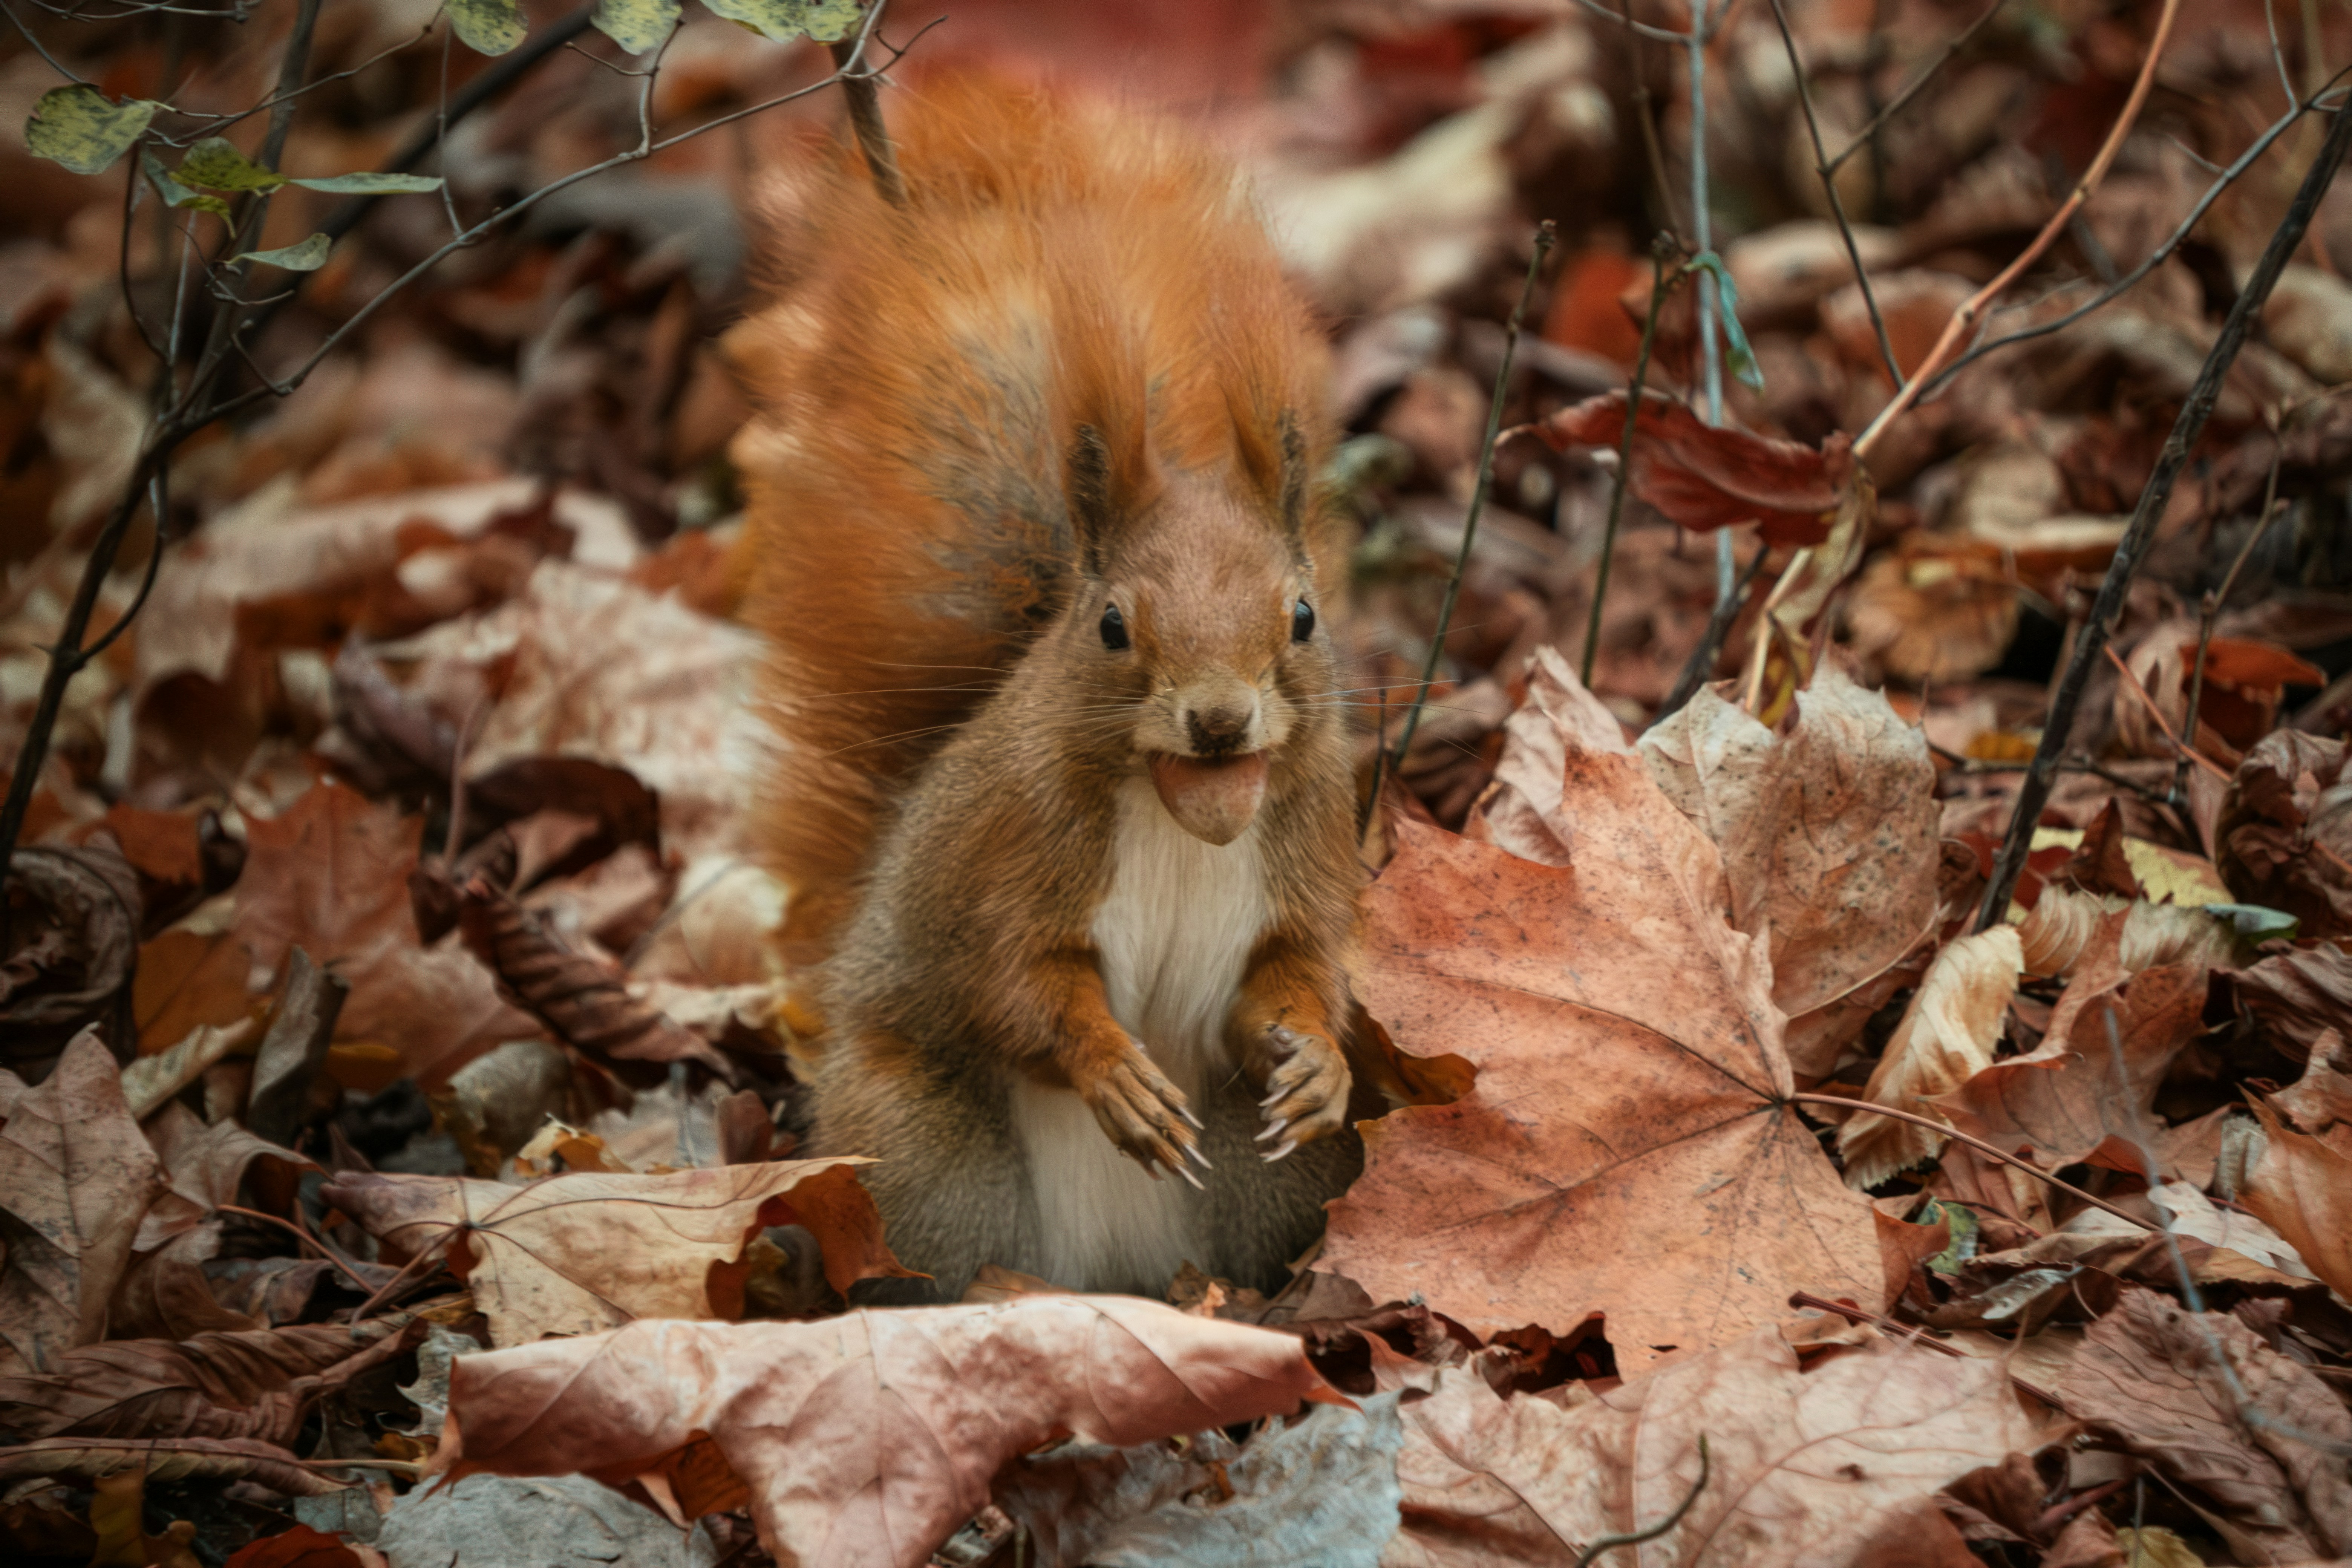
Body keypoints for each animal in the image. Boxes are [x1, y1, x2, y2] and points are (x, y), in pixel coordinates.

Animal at [726, 78, 1365, 1302]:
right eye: (1112, 624)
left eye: (1303, 617)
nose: (1219, 719)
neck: (1174, 821)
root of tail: (1122, 1271)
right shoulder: (1002, 860)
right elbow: (1014, 987)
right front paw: (1110, 1069)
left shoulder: (1307, 854)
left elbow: (1293, 972)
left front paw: (1315, 1058)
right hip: (923, 1152)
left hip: (1276, 1183)